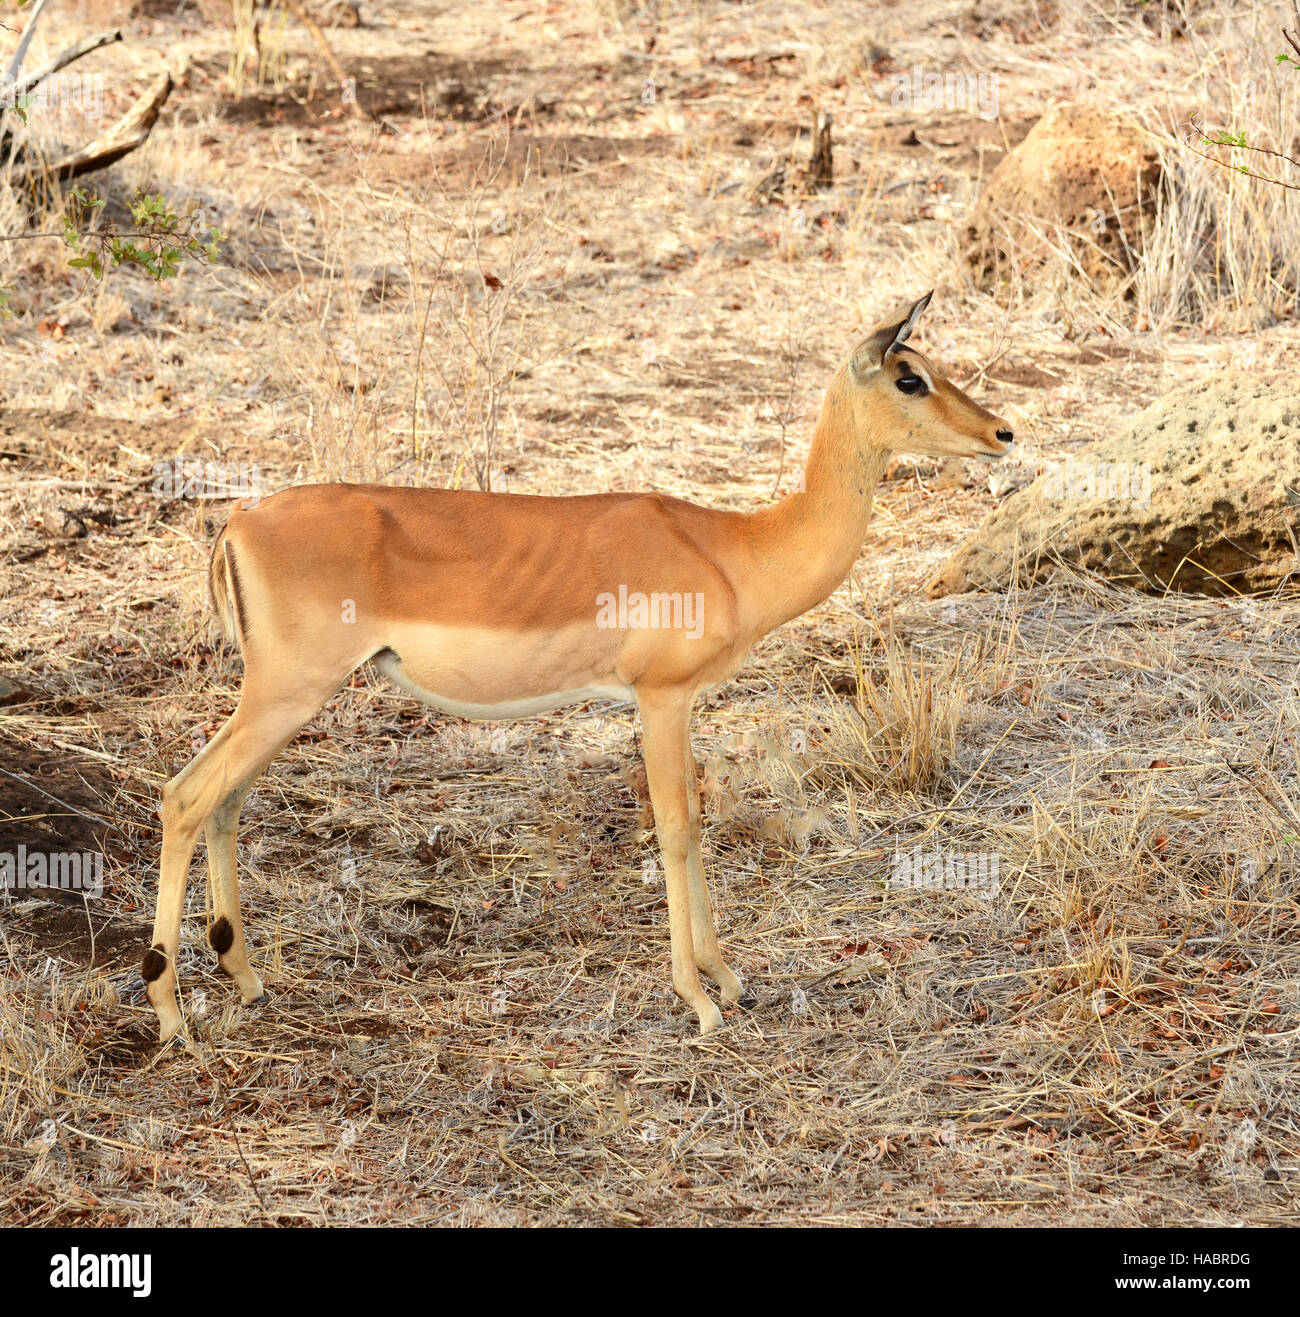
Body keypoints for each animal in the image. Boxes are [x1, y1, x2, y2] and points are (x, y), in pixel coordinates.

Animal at [142, 291, 1013, 1043]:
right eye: (909, 375)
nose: (1004, 433)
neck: (735, 550)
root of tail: (238, 523)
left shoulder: (682, 704)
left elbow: (693, 823)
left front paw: (729, 979)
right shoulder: (660, 698)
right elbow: (673, 827)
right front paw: (700, 1001)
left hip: (282, 702)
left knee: (223, 801)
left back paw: (245, 979)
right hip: (286, 694)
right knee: (184, 795)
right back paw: (172, 1013)